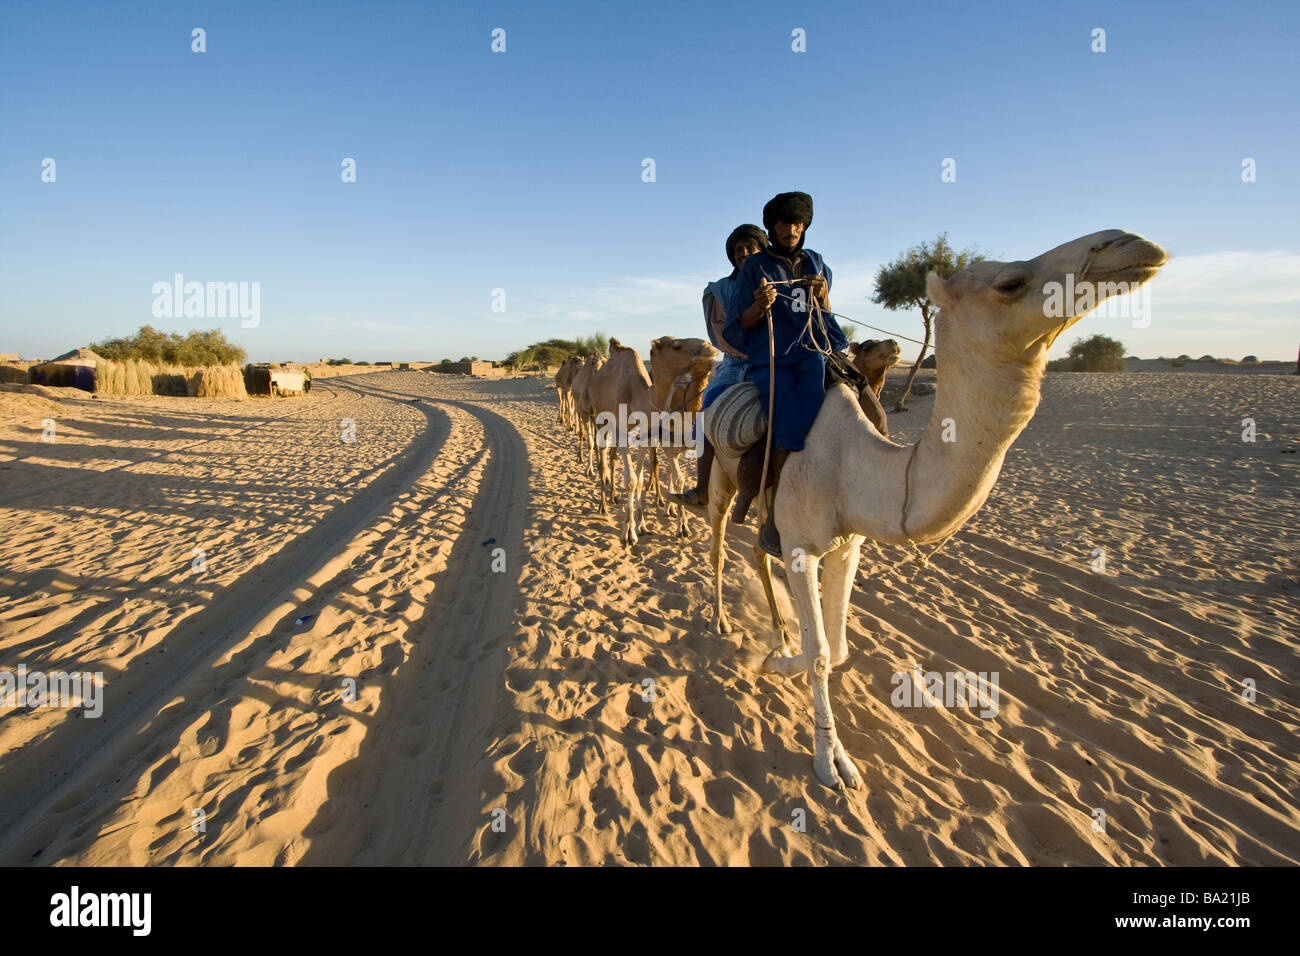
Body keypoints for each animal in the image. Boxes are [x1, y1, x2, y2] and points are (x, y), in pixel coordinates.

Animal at [648, 336, 718, 537]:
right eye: (676, 346)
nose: (709, 347)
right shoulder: (668, 445)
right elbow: (679, 479)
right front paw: (683, 528)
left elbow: (680, 477)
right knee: (656, 464)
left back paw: (669, 507)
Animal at [704, 229, 1168, 789]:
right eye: (1010, 281)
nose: (1129, 245)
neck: (854, 465)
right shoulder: (801, 547)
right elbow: (821, 656)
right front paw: (830, 760)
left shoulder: (847, 545)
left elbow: (836, 646)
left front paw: (781, 660)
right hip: (722, 479)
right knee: (719, 540)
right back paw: (722, 620)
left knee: (755, 548)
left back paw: (776, 633)